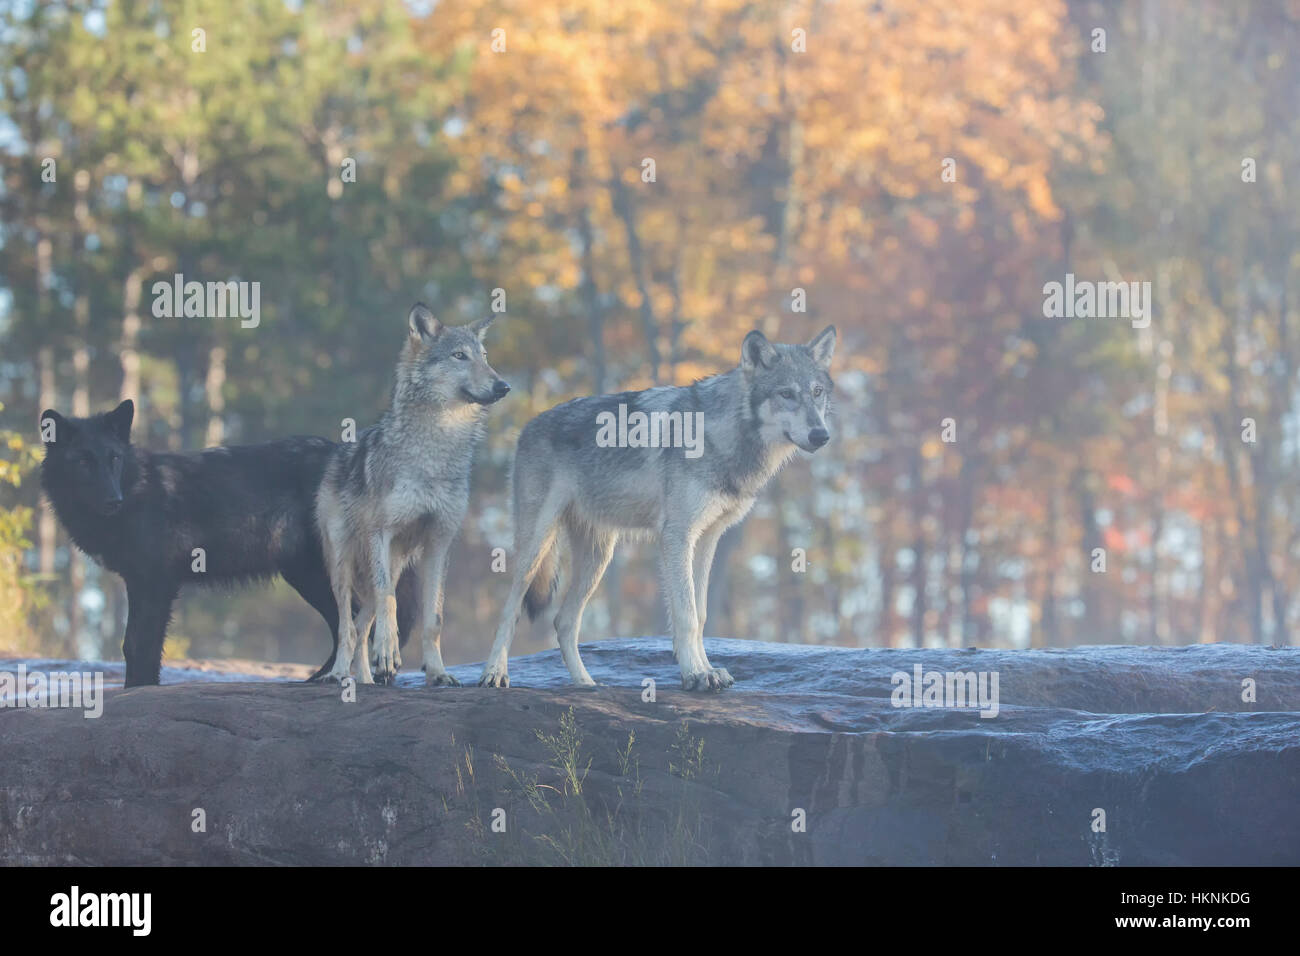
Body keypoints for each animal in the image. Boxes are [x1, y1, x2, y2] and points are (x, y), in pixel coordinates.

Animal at [38, 400, 418, 687]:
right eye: (83, 462)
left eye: (114, 458)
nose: (113, 500)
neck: (135, 488)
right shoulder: (140, 582)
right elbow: (134, 644)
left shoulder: (155, 583)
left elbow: (138, 645)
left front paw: (139, 689)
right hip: (305, 576)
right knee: (350, 623)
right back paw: (323, 679)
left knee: (356, 621)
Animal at [317, 303, 510, 685]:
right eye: (459, 356)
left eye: (484, 357)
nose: (504, 385)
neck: (435, 449)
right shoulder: (380, 533)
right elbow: (388, 603)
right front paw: (388, 652)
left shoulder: (440, 541)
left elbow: (433, 619)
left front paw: (437, 673)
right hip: (344, 562)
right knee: (349, 625)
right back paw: (340, 674)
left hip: (394, 562)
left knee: (363, 623)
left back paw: (365, 677)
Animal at [479, 325, 837, 691]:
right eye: (787, 394)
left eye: (817, 392)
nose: (821, 435)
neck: (723, 435)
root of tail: (527, 426)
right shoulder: (677, 536)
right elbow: (686, 614)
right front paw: (695, 674)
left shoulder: (708, 539)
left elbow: (701, 613)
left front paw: (707, 670)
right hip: (536, 547)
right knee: (510, 610)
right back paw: (494, 674)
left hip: (598, 558)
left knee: (564, 621)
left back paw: (586, 683)